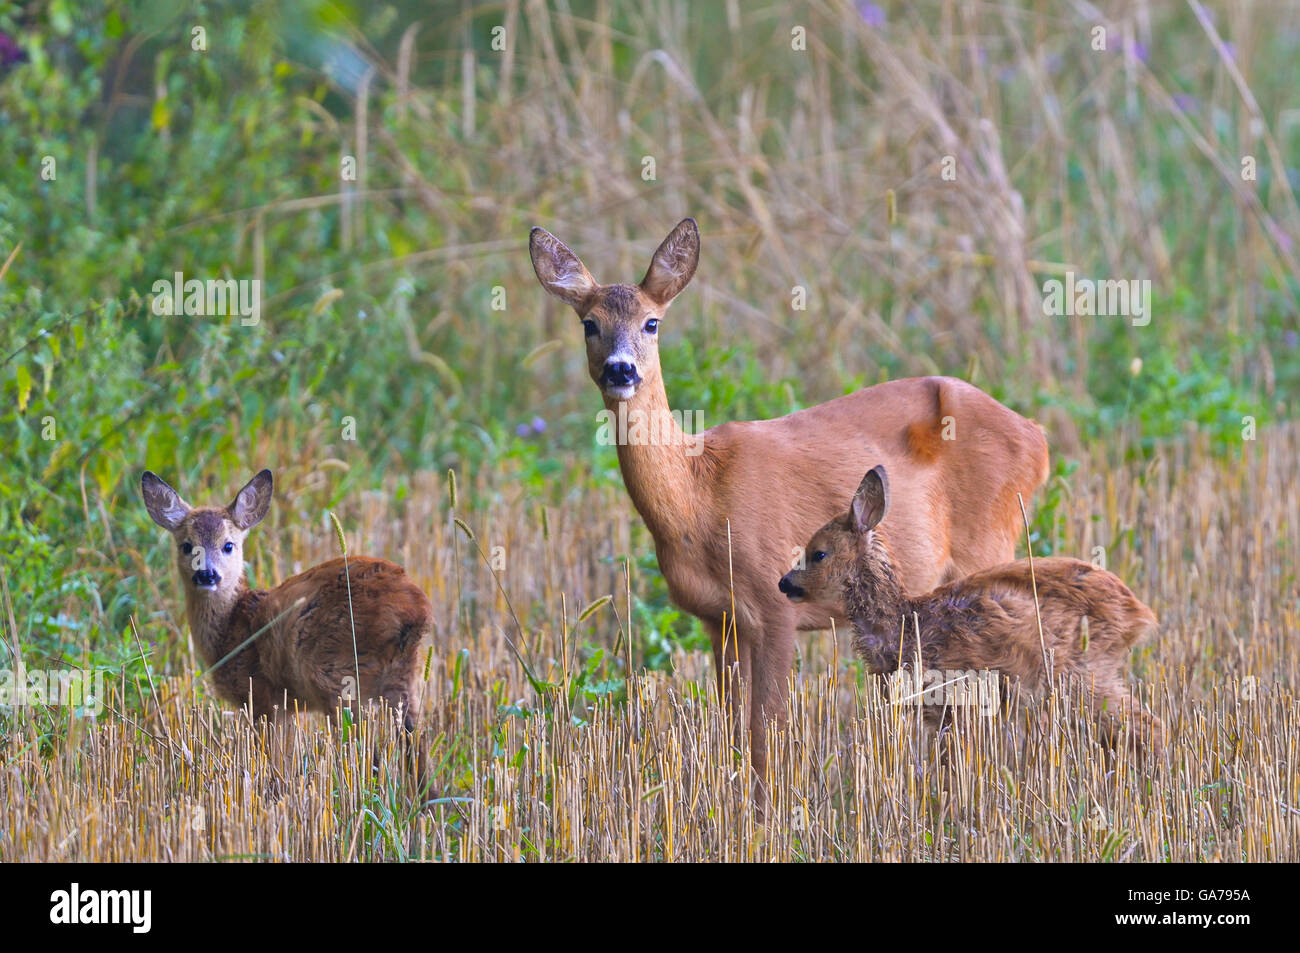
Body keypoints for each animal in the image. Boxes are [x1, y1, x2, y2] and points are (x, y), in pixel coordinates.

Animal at [141, 469, 433, 784]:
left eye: (228, 545)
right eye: (186, 545)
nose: (207, 574)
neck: (232, 629)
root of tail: (415, 608)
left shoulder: (264, 694)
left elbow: (276, 761)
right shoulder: (286, 703)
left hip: (341, 676)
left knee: (369, 752)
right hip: (405, 677)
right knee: (415, 744)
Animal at [530, 217, 1052, 789]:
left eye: (651, 323)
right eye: (589, 323)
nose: (620, 370)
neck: (700, 497)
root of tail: (1037, 438)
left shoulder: (775, 604)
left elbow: (768, 734)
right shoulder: (720, 619)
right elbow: (733, 733)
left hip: (989, 543)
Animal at [779, 465, 1164, 756]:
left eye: (819, 553)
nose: (783, 583)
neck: (906, 625)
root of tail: (1138, 612)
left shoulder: (954, 696)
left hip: (1082, 672)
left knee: (1146, 725)